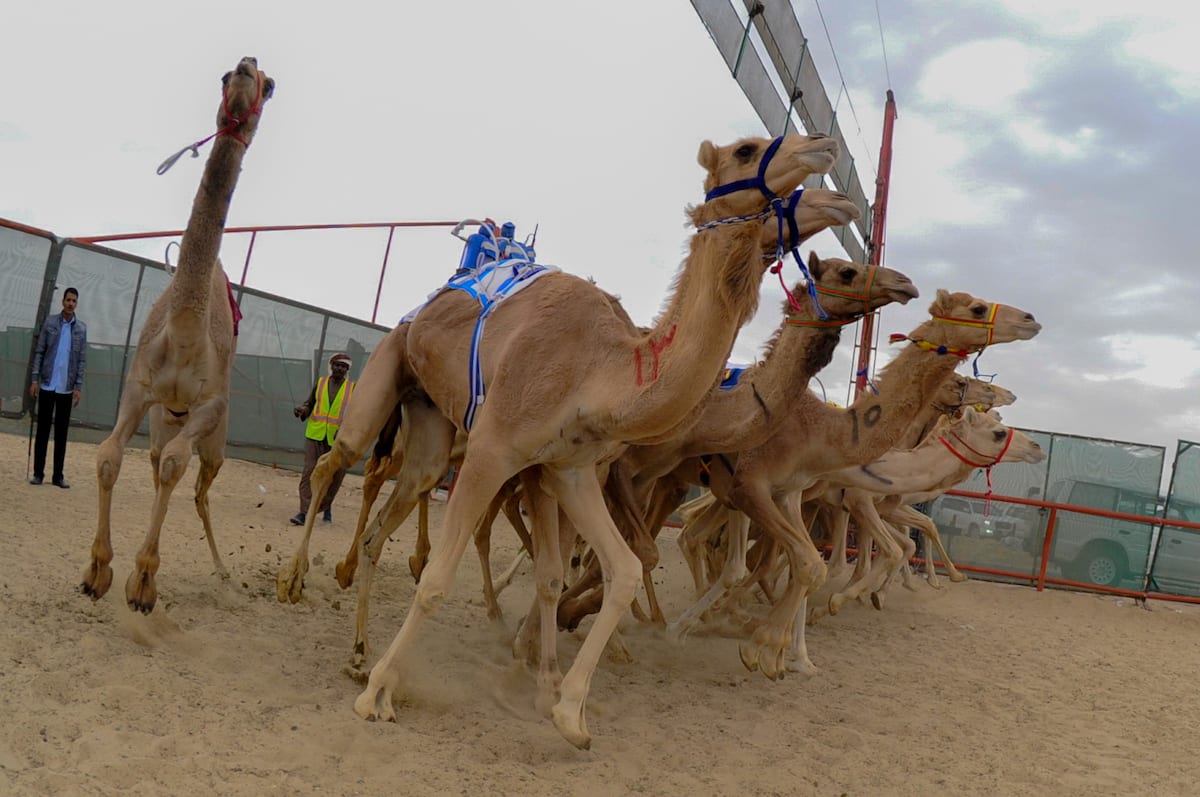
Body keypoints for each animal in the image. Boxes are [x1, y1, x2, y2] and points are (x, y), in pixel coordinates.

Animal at [80, 57, 274, 613]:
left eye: (271, 87)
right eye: (225, 74)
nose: (247, 68)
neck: (188, 330)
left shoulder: (210, 405)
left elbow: (174, 467)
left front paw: (143, 583)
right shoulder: (139, 389)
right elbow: (109, 457)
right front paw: (98, 572)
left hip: (217, 441)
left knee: (198, 487)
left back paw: (223, 572)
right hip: (163, 420)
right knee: (157, 465)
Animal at [352, 133, 841, 749]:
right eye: (747, 150)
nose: (824, 153)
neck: (600, 372)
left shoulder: (572, 468)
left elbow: (619, 569)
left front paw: (569, 712)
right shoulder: (494, 449)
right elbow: (440, 578)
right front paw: (379, 695)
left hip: (435, 427)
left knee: (391, 513)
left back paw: (360, 648)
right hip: (391, 379)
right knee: (348, 463)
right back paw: (341, 632)